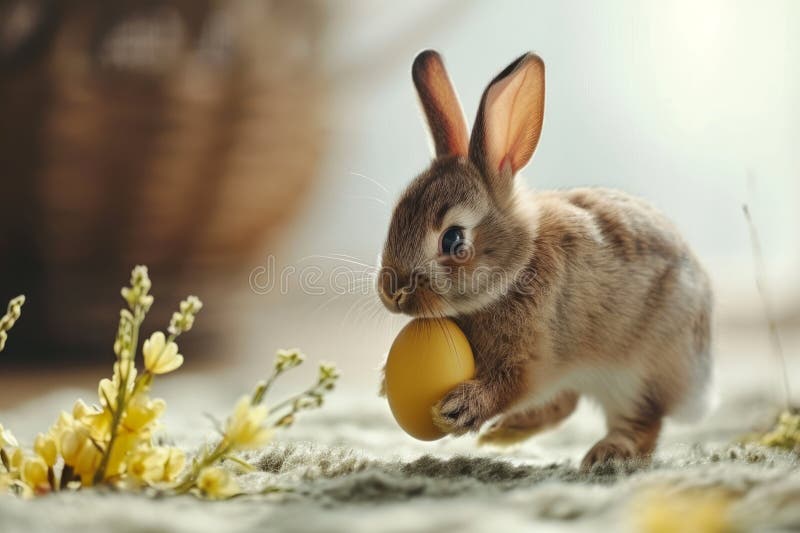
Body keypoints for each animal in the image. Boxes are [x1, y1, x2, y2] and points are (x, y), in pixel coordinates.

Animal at [376, 50, 713, 471]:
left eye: (453, 238)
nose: (391, 291)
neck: (518, 266)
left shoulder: (533, 355)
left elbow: (510, 384)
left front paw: (460, 409)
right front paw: (384, 381)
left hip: (637, 375)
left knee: (642, 424)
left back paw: (606, 455)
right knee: (565, 403)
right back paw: (505, 434)